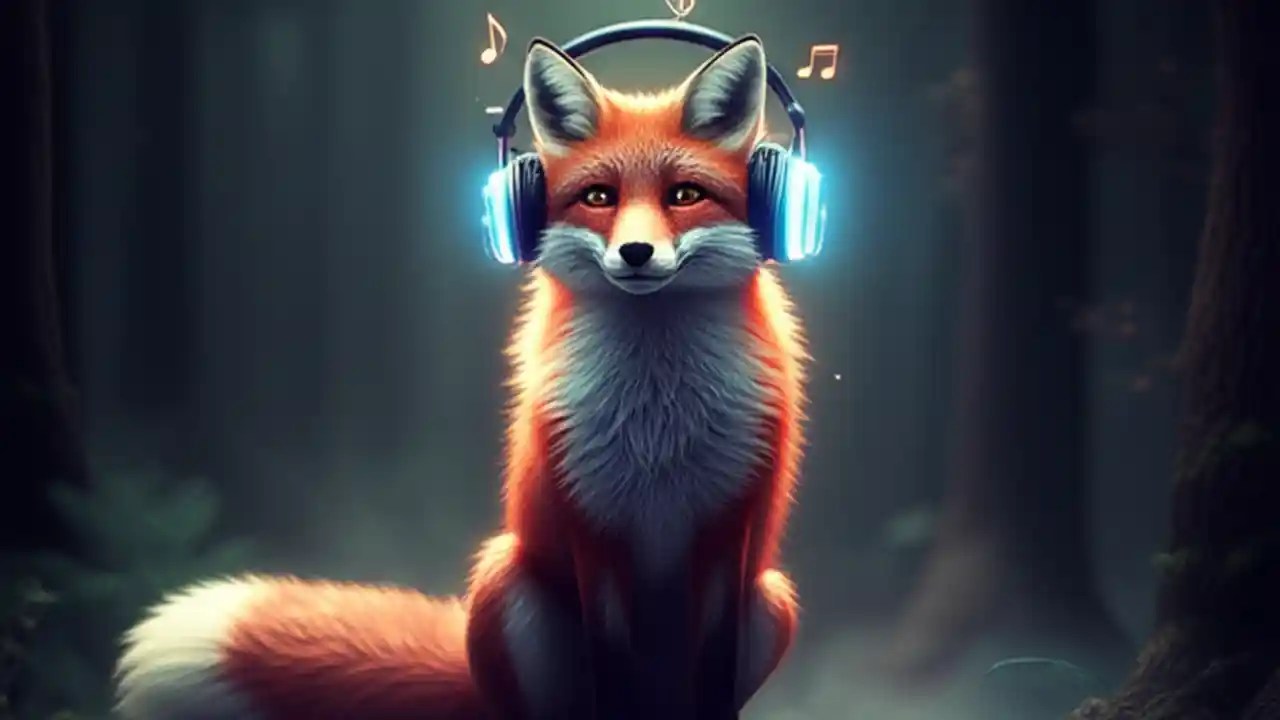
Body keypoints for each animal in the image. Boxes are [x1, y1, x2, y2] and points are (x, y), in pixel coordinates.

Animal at [114, 34, 807, 720]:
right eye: (599, 197)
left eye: (684, 196)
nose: (636, 254)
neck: (658, 424)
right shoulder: (591, 527)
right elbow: (606, 667)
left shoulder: (728, 532)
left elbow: (713, 673)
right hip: (508, 583)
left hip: (772, 598)